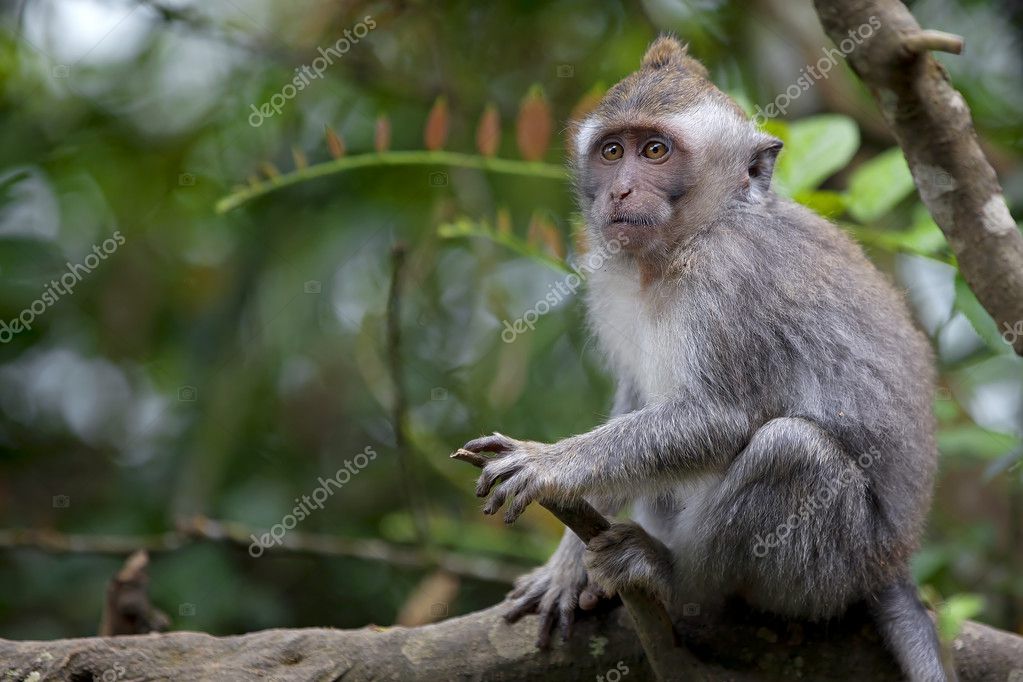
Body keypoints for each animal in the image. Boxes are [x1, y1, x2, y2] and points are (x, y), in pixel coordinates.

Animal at [457, 36, 953, 682]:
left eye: (656, 150)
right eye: (613, 151)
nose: (619, 191)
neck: (675, 250)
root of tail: (894, 565)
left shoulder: (728, 276)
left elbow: (720, 417)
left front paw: (548, 465)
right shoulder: (611, 277)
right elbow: (637, 399)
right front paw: (564, 567)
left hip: (837, 568)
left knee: (793, 451)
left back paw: (677, 581)